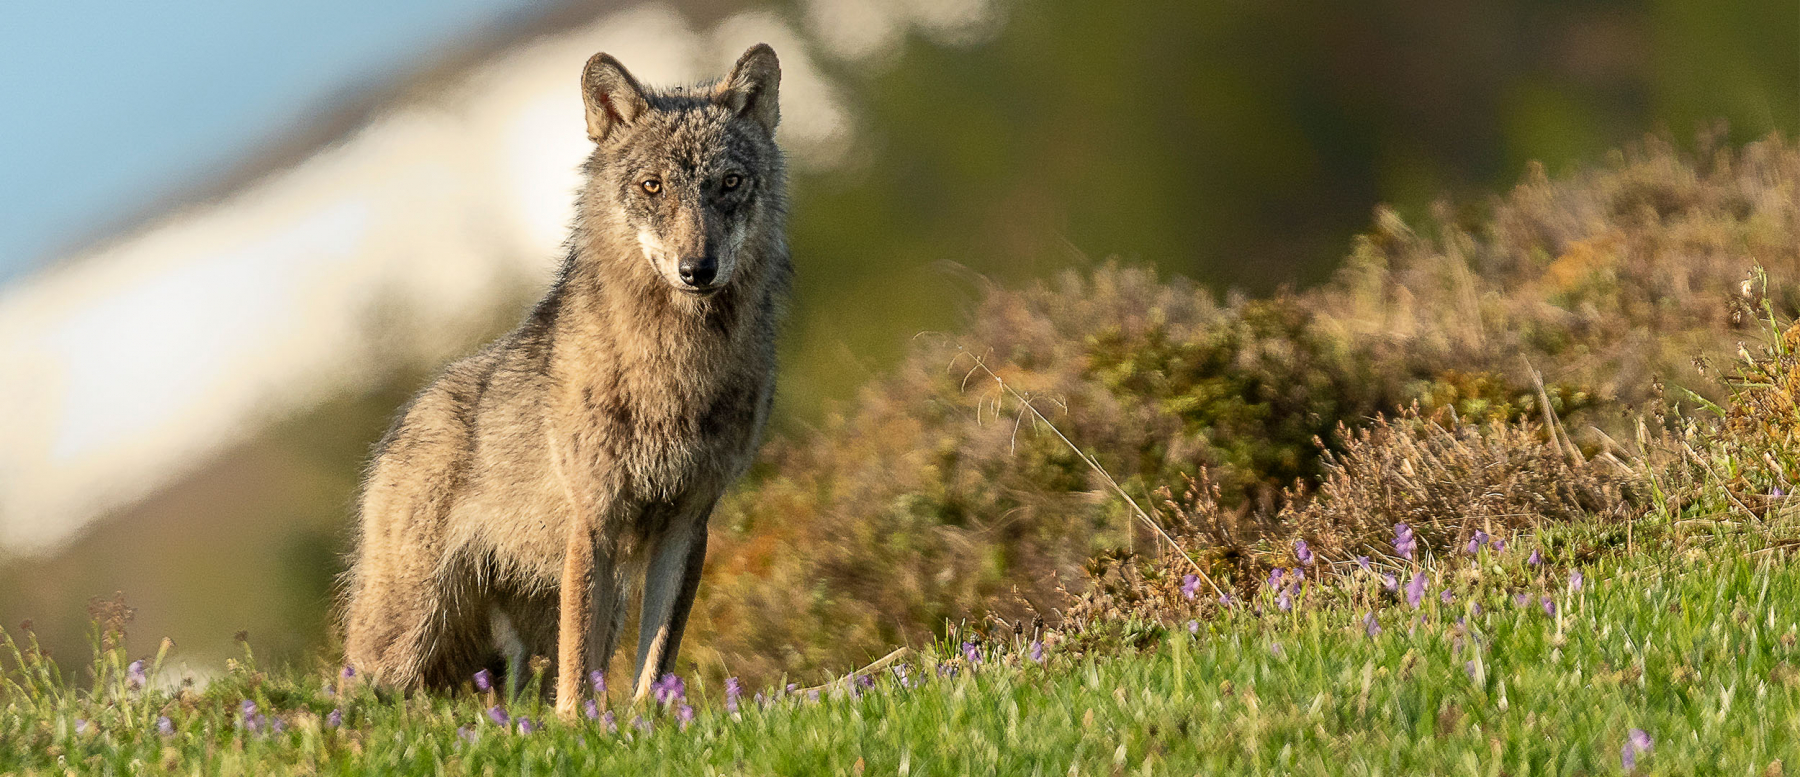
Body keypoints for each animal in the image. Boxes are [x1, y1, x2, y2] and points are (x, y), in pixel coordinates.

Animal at [340, 44, 789, 720]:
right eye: (652, 186)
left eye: (729, 183)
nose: (697, 269)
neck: (673, 368)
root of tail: (400, 425)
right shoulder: (594, 519)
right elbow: (580, 668)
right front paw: (579, 727)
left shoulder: (688, 523)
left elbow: (656, 656)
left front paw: (647, 721)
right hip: (408, 632)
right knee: (351, 688)